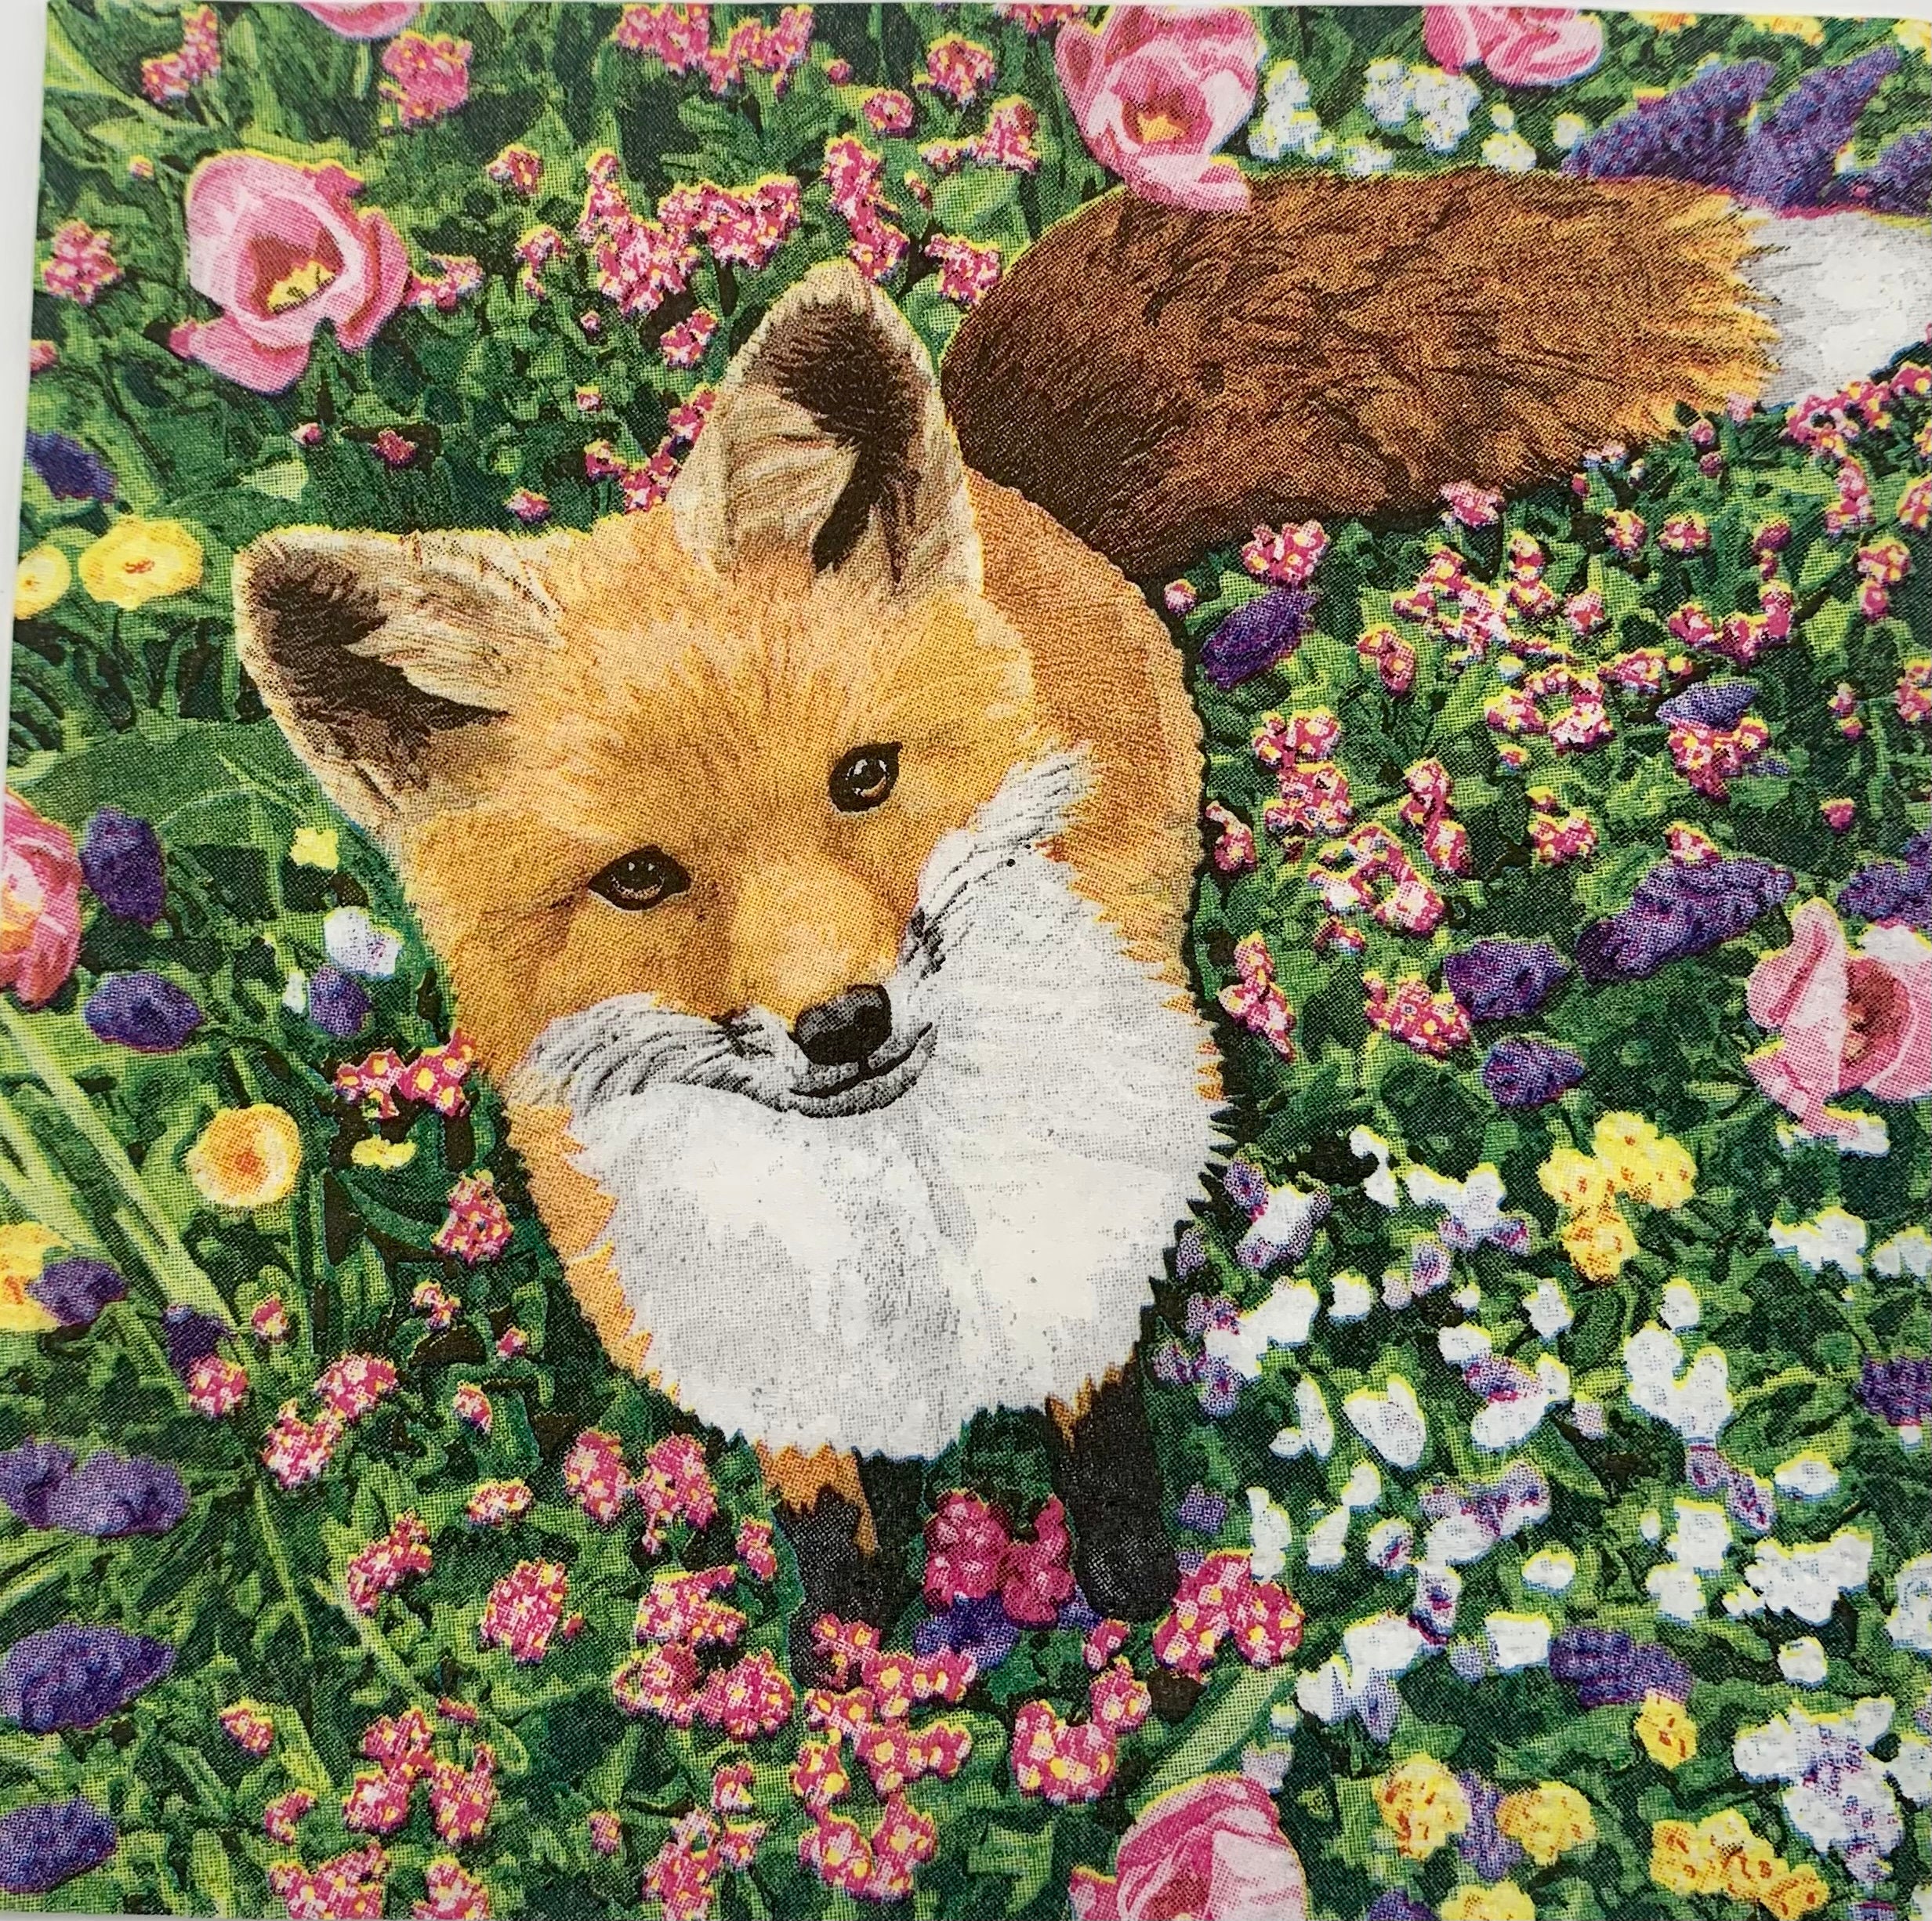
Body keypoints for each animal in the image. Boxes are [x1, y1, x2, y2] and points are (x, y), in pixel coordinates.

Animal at [231, 165, 1929, 1644]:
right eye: (638, 878)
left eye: (864, 777)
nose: (842, 1022)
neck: (907, 1231)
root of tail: (1001, 486)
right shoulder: (748, 1360)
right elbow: (828, 1534)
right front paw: (845, 1667)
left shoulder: (1093, 1259)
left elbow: (1102, 1439)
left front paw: (1133, 1602)